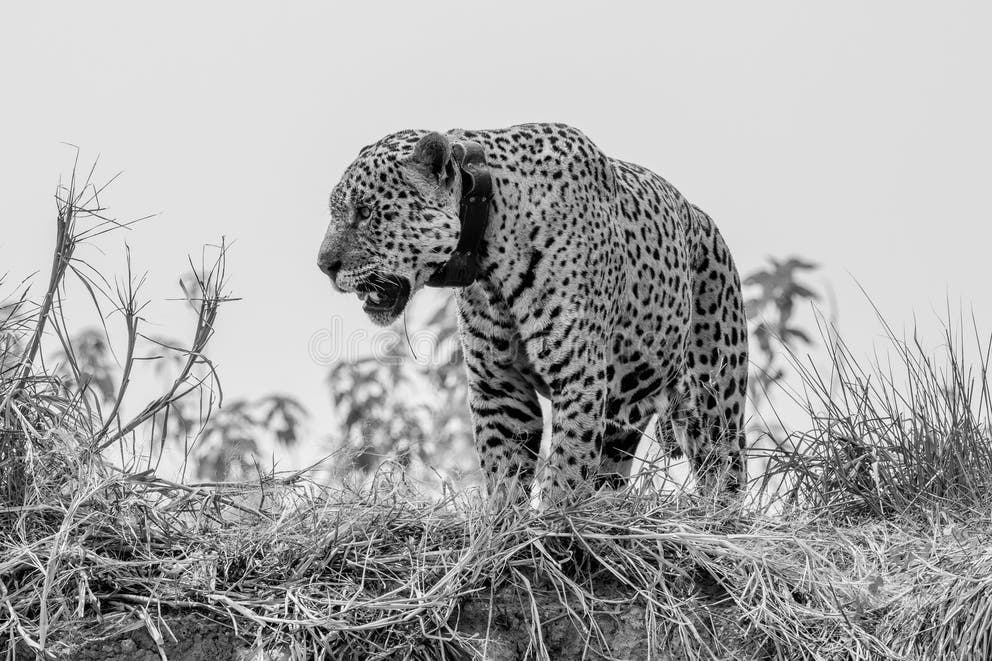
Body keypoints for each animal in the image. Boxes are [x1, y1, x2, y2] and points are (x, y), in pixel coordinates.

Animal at [317, 123, 748, 505]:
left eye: (365, 212)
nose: (323, 265)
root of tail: (702, 219)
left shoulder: (578, 377)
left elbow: (567, 467)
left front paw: (553, 530)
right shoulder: (499, 386)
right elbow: (504, 472)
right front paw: (502, 533)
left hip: (716, 401)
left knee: (725, 473)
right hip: (621, 420)